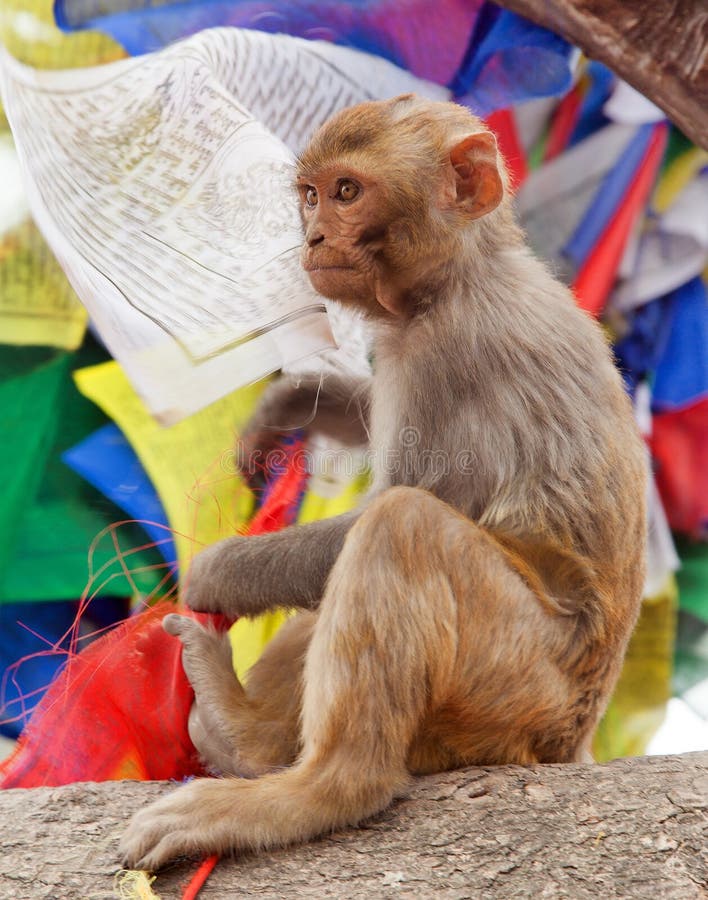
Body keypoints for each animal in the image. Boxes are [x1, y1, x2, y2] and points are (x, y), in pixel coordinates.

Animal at [120, 94, 647, 870]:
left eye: (347, 192)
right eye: (310, 196)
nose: (312, 238)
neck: (460, 275)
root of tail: (570, 739)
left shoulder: (449, 357)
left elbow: (385, 509)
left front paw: (215, 570)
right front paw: (293, 407)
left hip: (518, 690)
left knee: (402, 526)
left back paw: (309, 783)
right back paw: (254, 742)